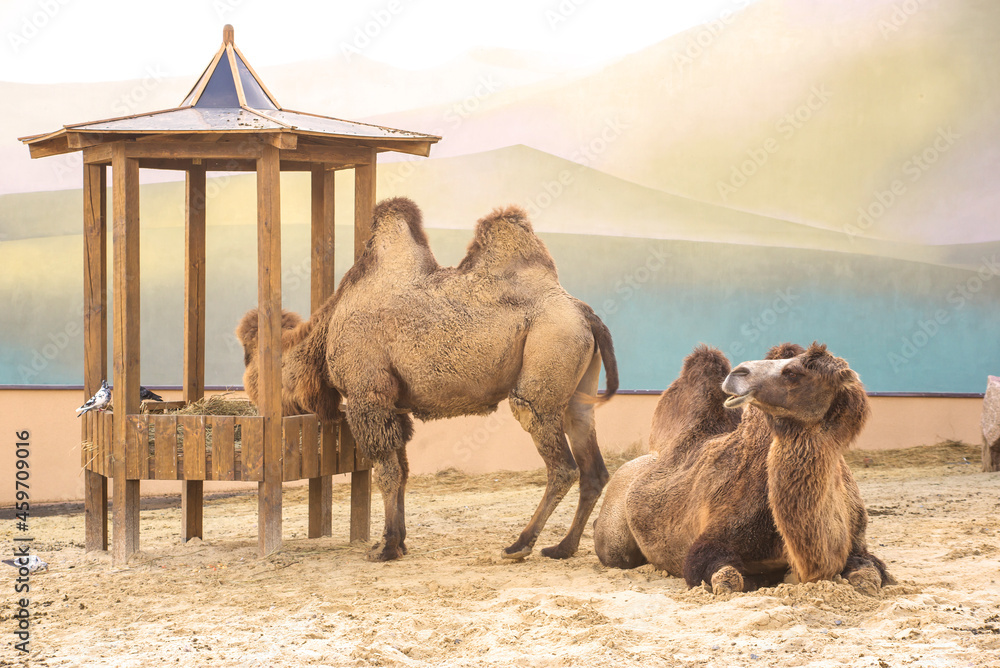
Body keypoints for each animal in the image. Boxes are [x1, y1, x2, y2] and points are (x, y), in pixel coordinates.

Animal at [237, 197, 618, 562]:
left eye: (249, 361)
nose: (254, 402)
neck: (328, 329)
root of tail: (586, 315)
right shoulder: (396, 406)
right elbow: (403, 470)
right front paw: (399, 541)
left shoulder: (367, 397)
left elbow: (386, 472)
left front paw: (385, 548)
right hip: (576, 392)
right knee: (592, 465)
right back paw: (562, 548)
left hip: (545, 367)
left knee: (560, 463)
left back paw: (519, 545)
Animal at [593, 342, 893, 594]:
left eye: (793, 372)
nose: (738, 373)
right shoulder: (708, 545)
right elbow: (727, 580)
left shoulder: (858, 546)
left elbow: (869, 578)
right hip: (616, 533)